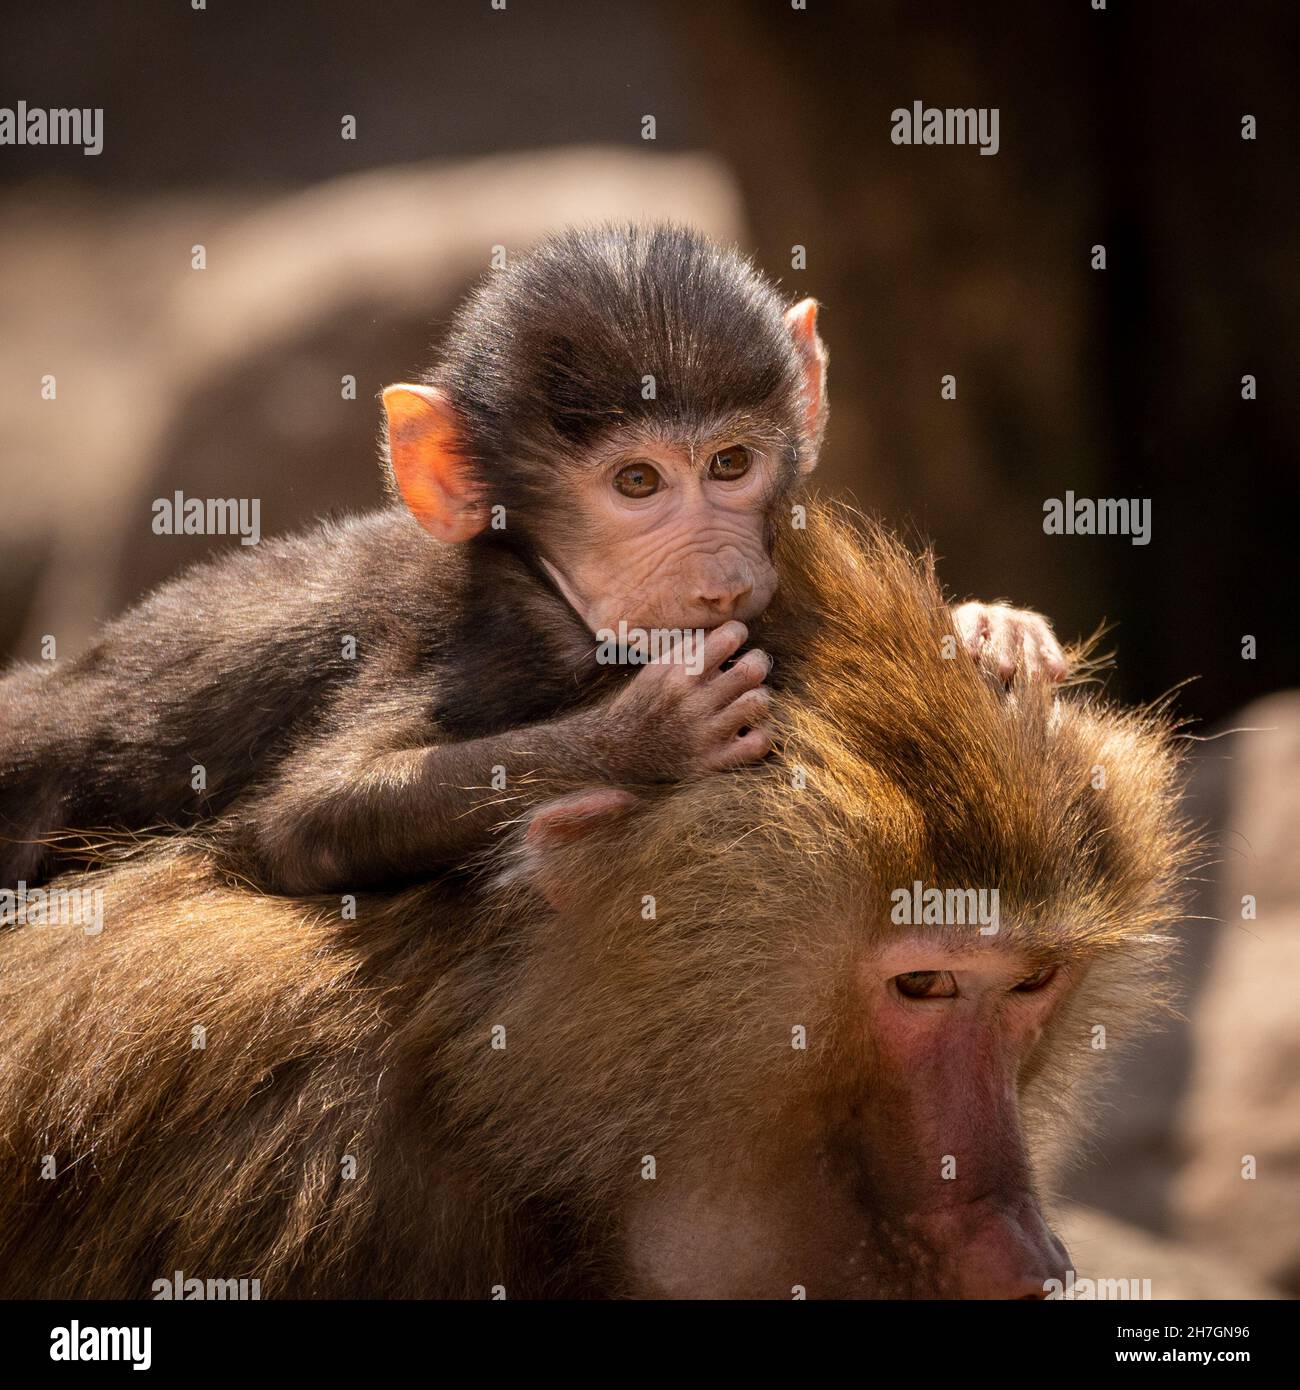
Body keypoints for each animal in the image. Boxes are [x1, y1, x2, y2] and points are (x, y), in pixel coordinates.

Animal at [0, 223, 1066, 896]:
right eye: (636, 483)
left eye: (730, 464)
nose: (720, 574)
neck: (544, 580)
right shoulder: (502, 638)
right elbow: (303, 820)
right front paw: (646, 736)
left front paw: (988, 629)